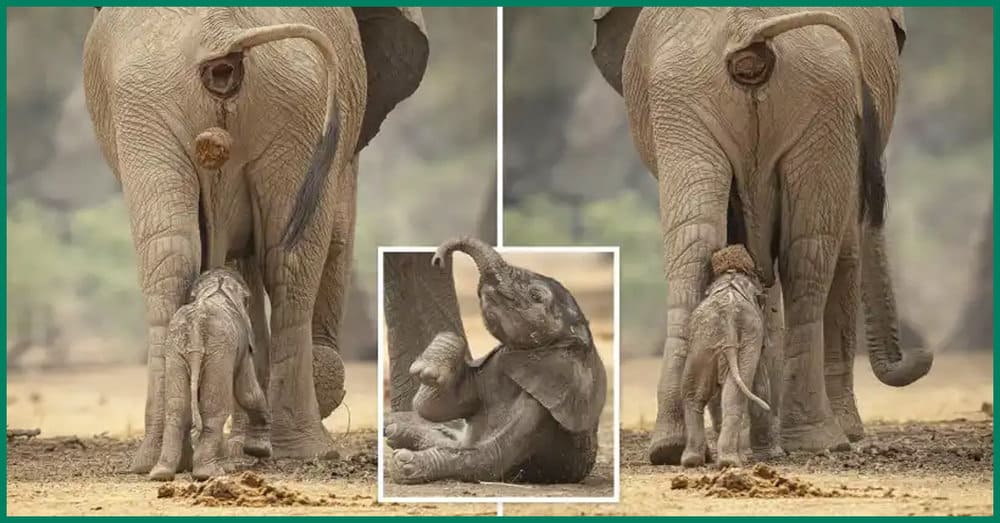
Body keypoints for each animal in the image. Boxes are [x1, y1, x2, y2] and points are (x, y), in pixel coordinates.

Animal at [150, 267, 270, 481]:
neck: (217, 286)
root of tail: (196, 325)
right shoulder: (240, 345)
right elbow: (246, 392)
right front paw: (262, 450)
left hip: (176, 348)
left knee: (176, 407)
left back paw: (160, 474)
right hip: (217, 349)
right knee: (215, 409)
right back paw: (208, 474)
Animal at [383, 238, 606, 484]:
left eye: (536, 296)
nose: (437, 260)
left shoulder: (545, 401)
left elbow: (489, 459)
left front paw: (404, 464)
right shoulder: (494, 364)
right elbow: (437, 406)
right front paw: (443, 350)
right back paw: (394, 427)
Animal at [681, 245, 779, 468]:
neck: (730, 278)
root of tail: (728, 320)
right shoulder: (755, 335)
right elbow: (759, 380)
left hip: (703, 341)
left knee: (694, 393)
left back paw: (693, 460)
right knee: (734, 394)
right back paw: (731, 461)